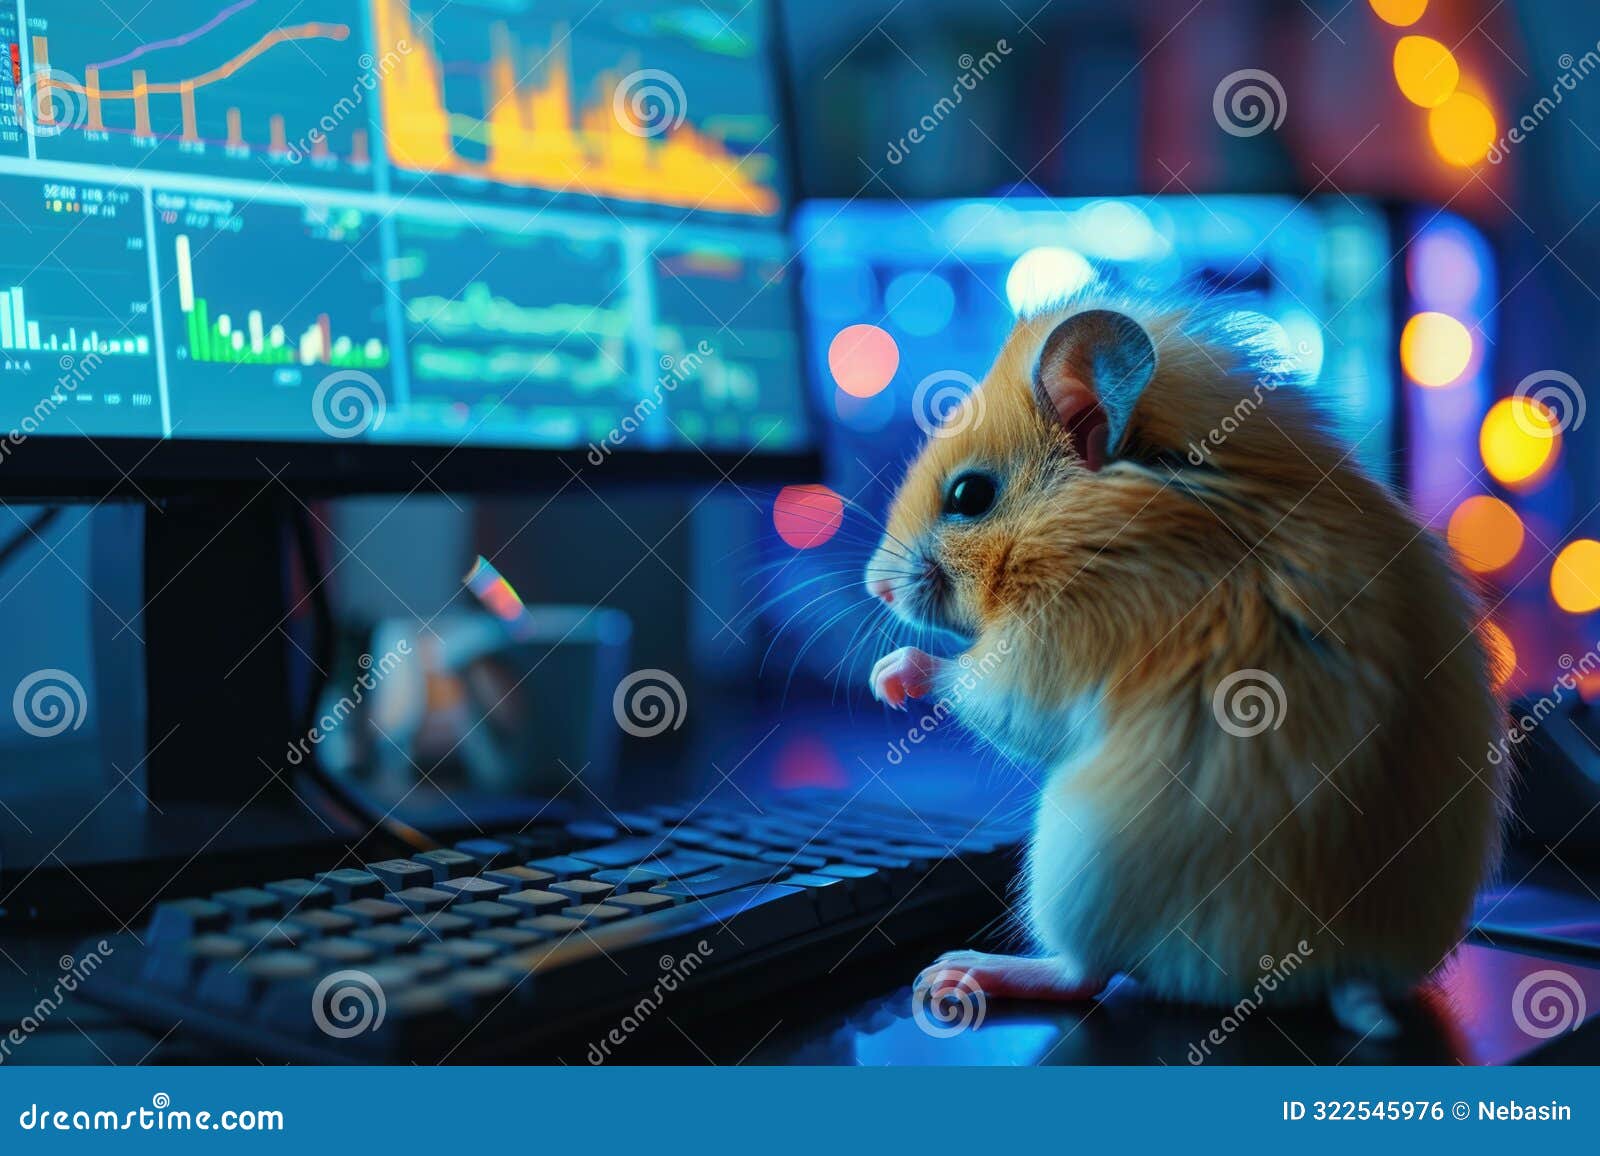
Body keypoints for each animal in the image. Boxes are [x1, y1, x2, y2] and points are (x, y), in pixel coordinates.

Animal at [864, 290, 1506, 1035]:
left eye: (969, 496)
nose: (875, 588)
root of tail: (1344, 964)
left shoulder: (1053, 645)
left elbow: (972, 685)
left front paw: (890, 677)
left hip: (1073, 860)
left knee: (1087, 974)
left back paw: (958, 973)